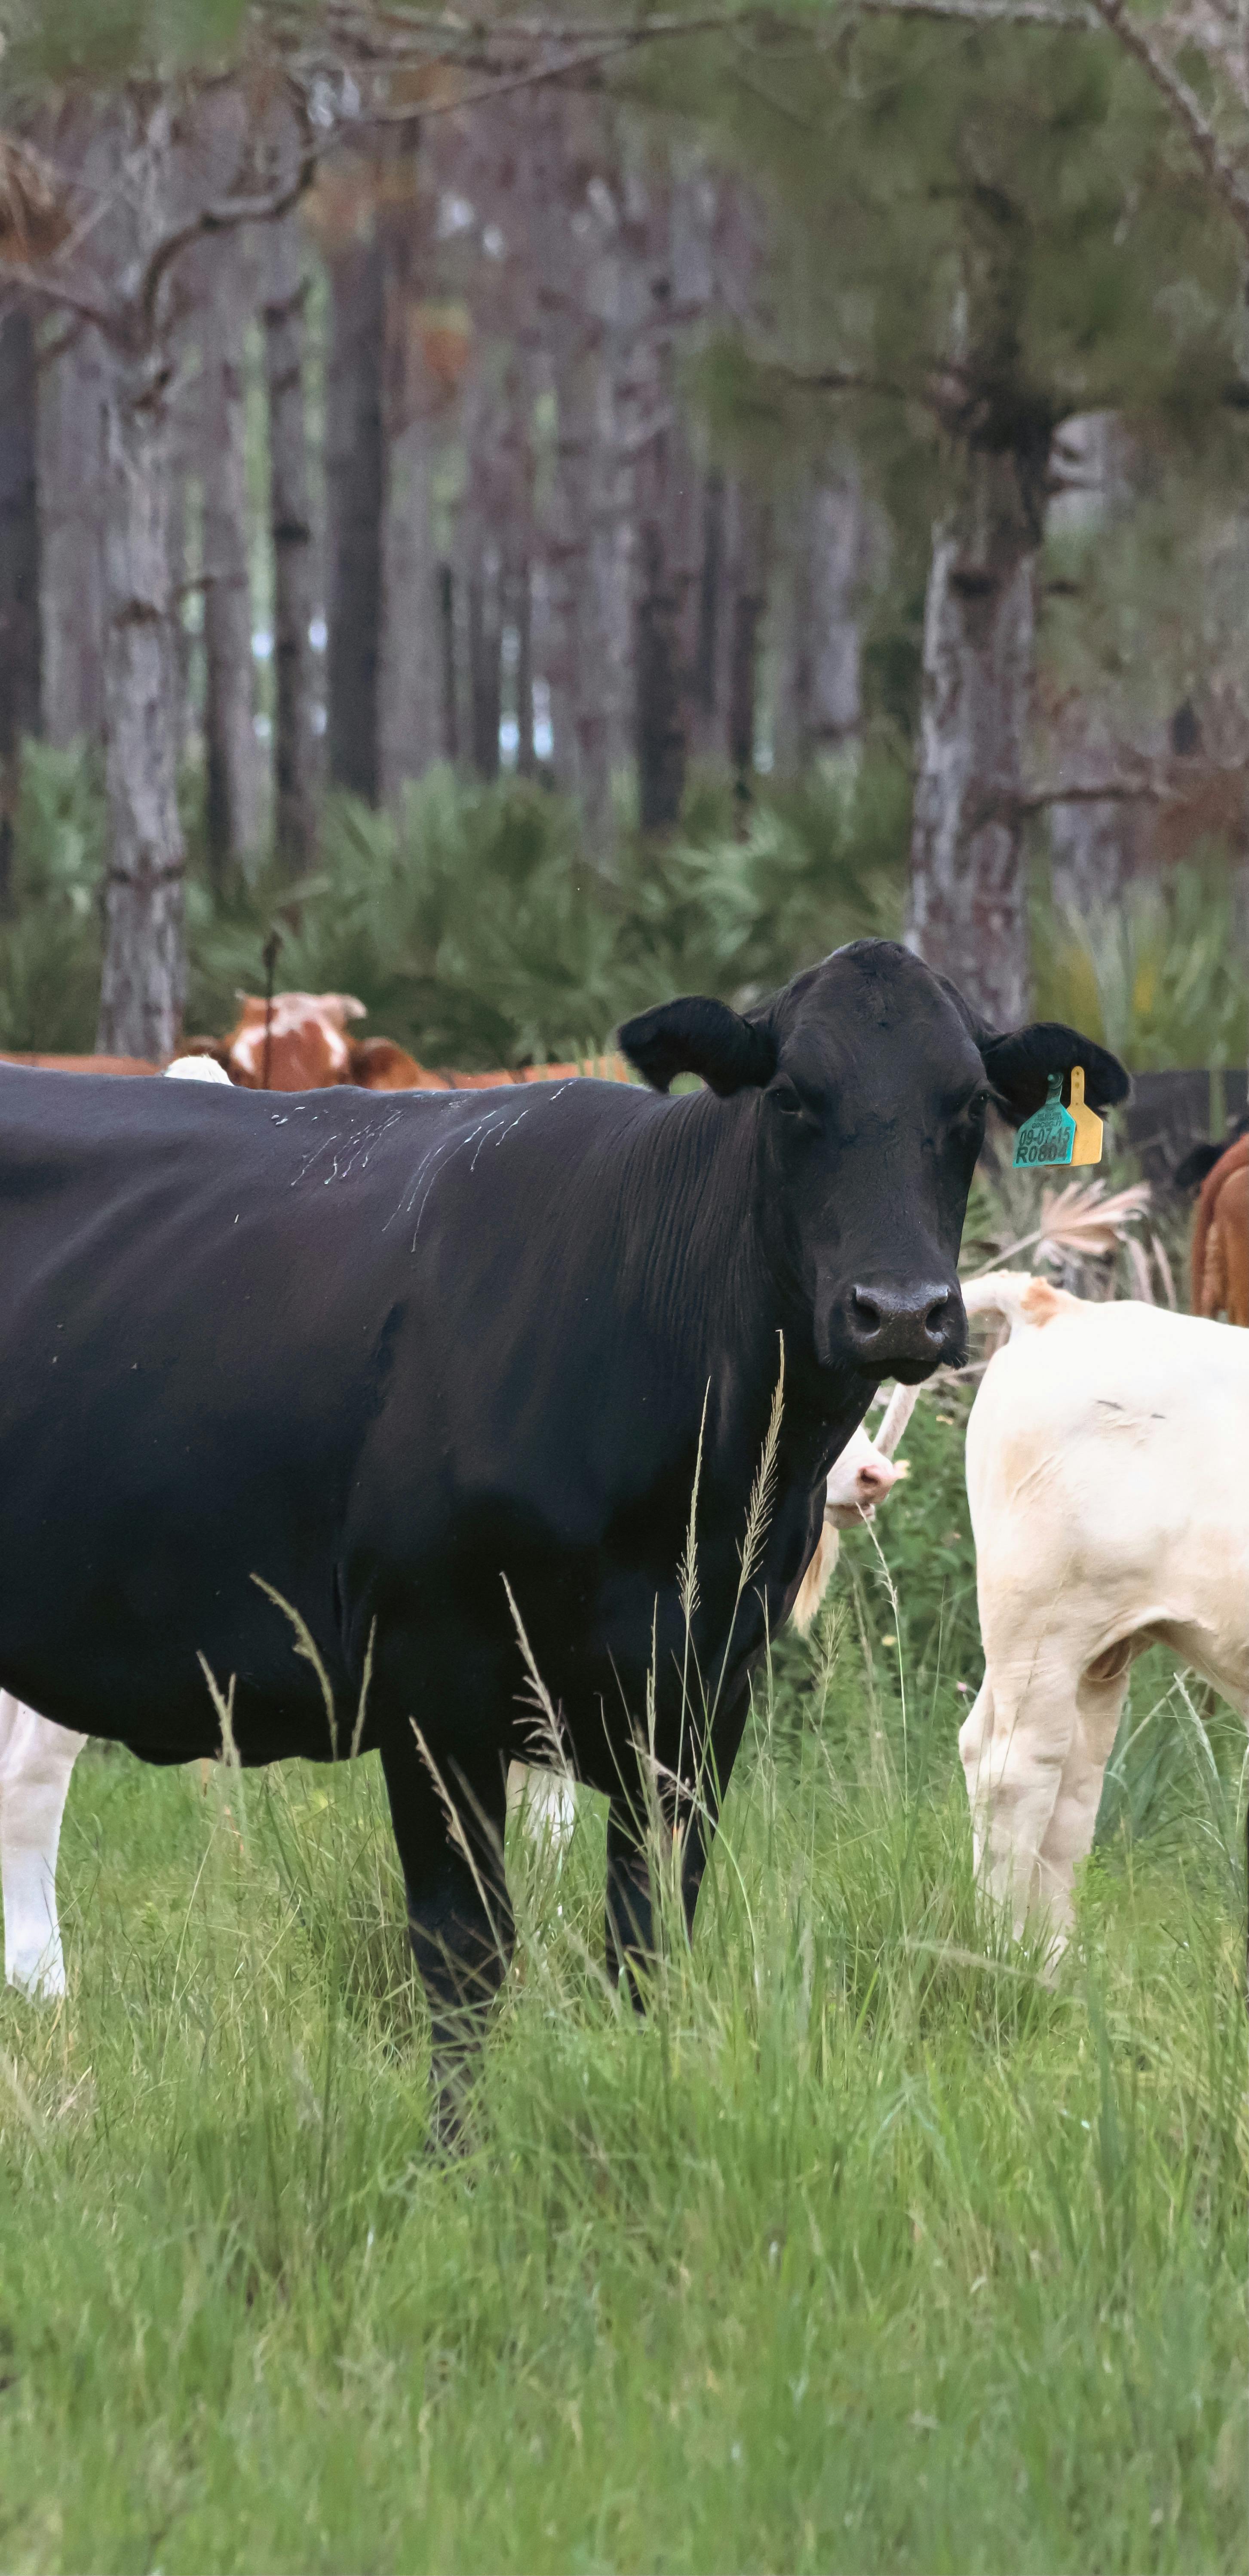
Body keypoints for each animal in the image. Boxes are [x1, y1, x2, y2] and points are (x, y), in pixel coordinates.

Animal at [0, 941, 1124, 2135]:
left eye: (967, 1107)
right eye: (789, 1096)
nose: (903, 1310)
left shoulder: (706, 1692)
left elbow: (647, 1935)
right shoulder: (433, 1681)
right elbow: (466, 1953)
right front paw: (454, 2160)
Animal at [956, 1272, 1248, 1962]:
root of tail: (1060, 1307)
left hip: (1094, 1647)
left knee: (1070, 1781)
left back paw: (1054, 1960)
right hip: (1042, 1619)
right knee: (1014, 1772)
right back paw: (1006, 1953)